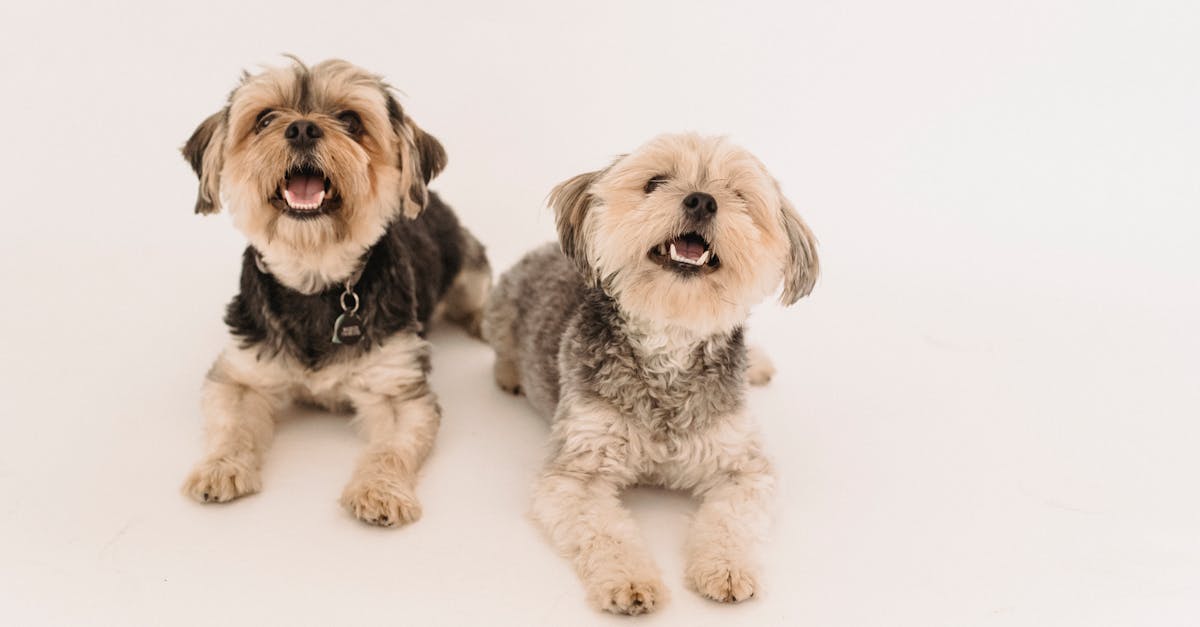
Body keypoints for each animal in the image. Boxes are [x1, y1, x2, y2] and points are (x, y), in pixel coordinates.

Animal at [177, 59, 487, 526]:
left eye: (351, 121)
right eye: (264, 119)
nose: (302, 128)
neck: (316, 279)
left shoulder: (397, 387)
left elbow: (391, 448)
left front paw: (380, 490)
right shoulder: (242, 372)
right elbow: (231, 425)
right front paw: (220, 467)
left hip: (467, 262)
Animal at [482, 130, 820, 610]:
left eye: (738, 195)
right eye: (655, 182)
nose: (702, 200)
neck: (669, 341)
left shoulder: (744, 468)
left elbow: (730, 521)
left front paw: (727, 568)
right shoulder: (577, 472)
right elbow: (605, 532)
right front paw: (630, 580)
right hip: (499, 309)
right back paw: (510, 374)